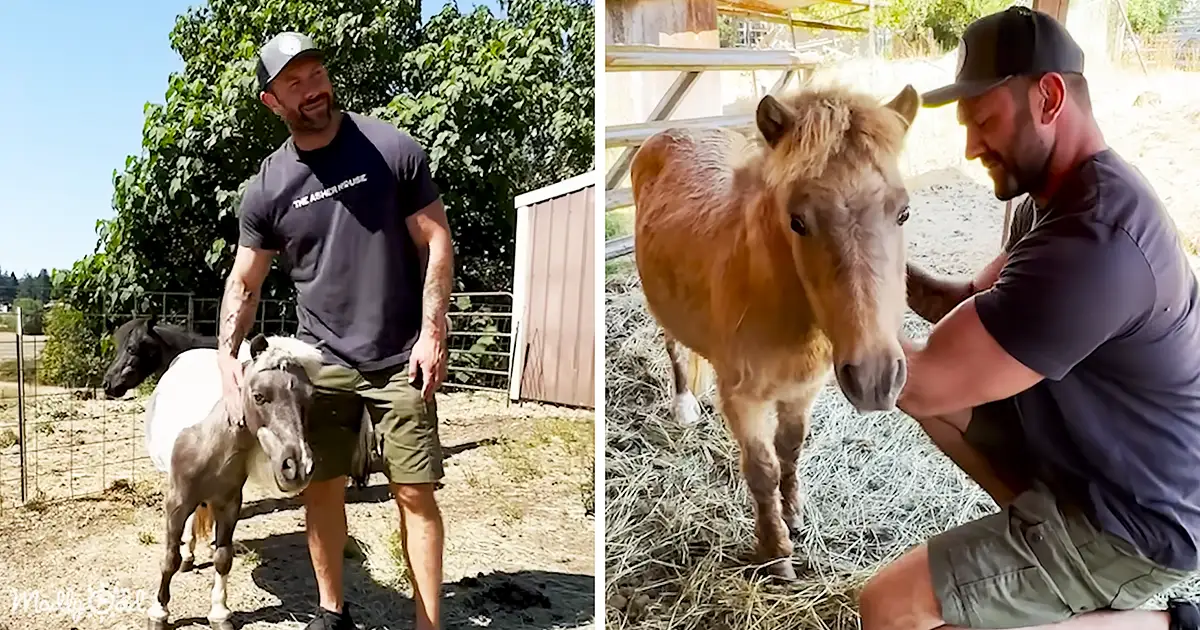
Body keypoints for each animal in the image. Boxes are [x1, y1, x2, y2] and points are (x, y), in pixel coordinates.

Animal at [144, 333, 325, 630]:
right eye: (259, 396)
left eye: (310, 398)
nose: (298, 468)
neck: (209, 440)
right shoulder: (176, 501)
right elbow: (169, 558)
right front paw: (159, 613)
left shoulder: (229, 504)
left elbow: (223, 558)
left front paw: (219, 613)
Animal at [630, 83, 921, 580]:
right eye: (797, 221)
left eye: (903, 212)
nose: (875, 379)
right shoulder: (744, 400)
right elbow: (762, 468)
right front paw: (775, 552)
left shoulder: (803, 391)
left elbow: (790, 449)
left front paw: (794, 515)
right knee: (674, 347)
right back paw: (685, 406)